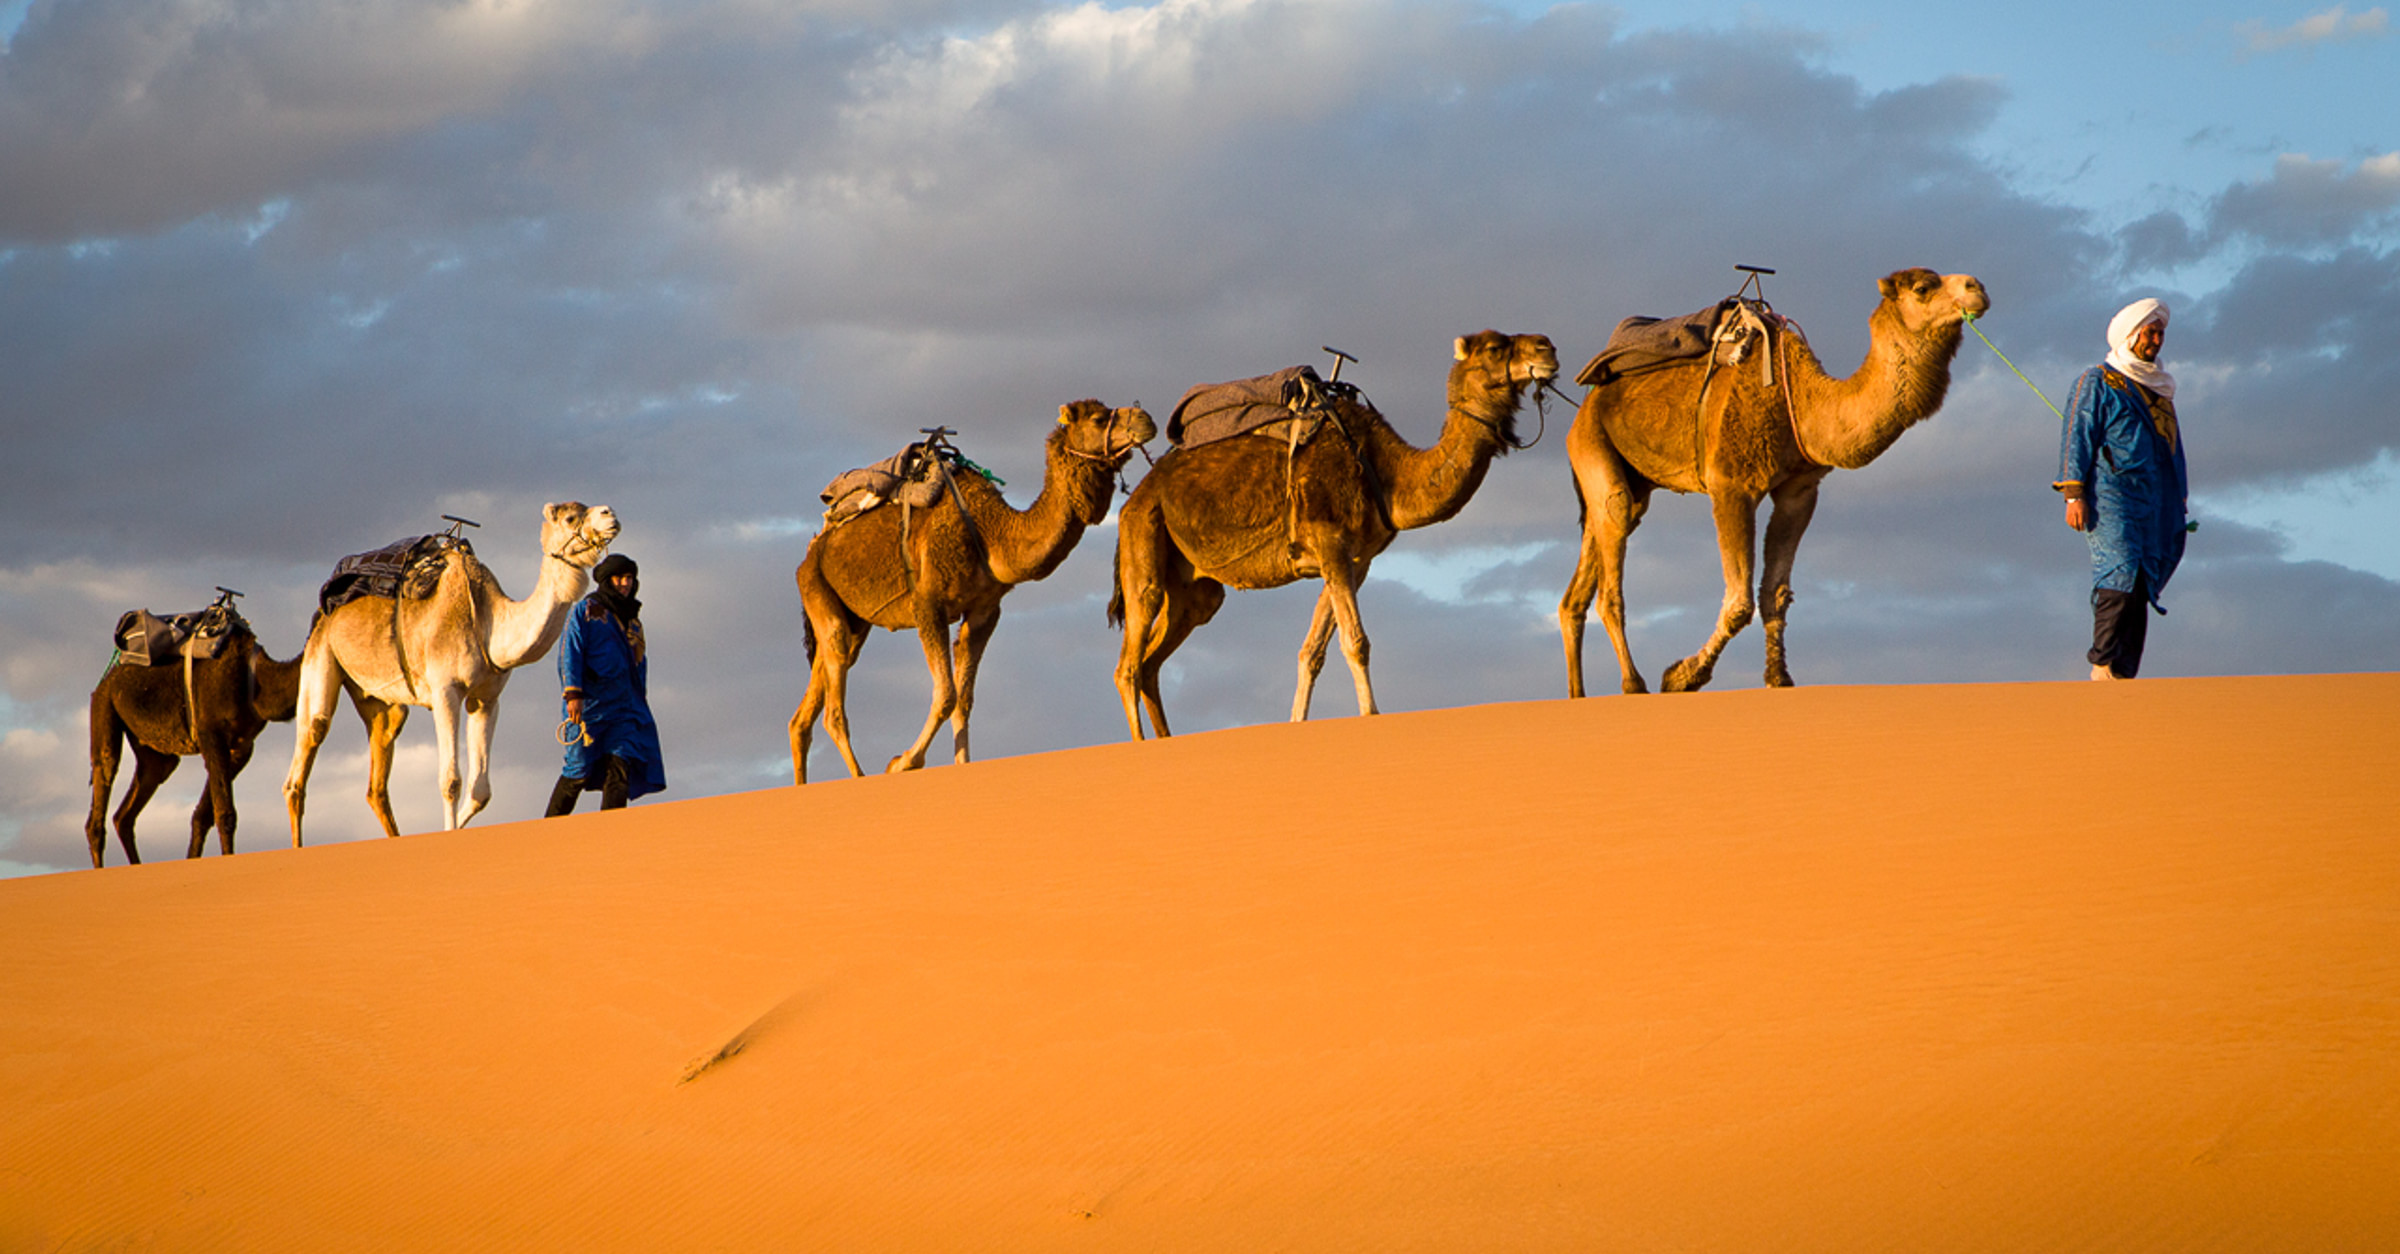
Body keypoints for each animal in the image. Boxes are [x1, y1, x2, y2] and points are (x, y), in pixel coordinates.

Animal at [85, 623, 302, 867]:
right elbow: (225, 813)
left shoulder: (241, 748)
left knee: (127, 811)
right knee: (104, 775)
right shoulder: (211, 735)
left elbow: (202, 816)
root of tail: (106, 680)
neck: (254, 679)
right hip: (104, 706)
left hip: (155, 753)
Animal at [283, 502, 620, 842]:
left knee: (378, 776)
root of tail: (325, 611)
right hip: (320, 652)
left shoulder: (487, 699)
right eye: (570, 517)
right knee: (307, 751)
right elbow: (451, 781)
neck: (488, 620)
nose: (610, 514)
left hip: (378, 697)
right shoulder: (446, 690)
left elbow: (480, 791)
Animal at [789, 401, 1157, 783]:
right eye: (1099, 419)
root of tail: (814, 548)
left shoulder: (984, 612)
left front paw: (961, 767)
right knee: (833, 706)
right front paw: (901, 763)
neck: (993, 533)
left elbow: (964, 700)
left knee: (806, 713)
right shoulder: (928, 604)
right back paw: (859, 776)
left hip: (853, 620)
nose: (1146, 419)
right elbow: (947, 694)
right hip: (816, 586)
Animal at [1109, 330, 1559, 738]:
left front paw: (1297, 723)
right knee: (1129, 660)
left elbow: (1312, 652)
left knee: (1152, 661)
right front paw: (1371, 716)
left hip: (1195, 590)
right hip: (1145, 534)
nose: (1547, 349)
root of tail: (1136, 497)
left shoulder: (1355, 560)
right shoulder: (1331, 542)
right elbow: (1356, 642)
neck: (1385, 471)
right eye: (1495, 348)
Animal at [1557, 267, 1990, 696]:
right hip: (1592, 443)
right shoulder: (1731, 485)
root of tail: (1586, 402)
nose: (1978, 288)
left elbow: (1775, 594)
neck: (1802, 400)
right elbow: (1739, 602)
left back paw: (1578, 693)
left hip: (1632, 480)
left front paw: (1779, 677)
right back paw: (1634, 684)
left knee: (1580, 584)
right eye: (1923, 288)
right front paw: (1682, 676)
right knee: (1611, 564)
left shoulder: (1799, 491)